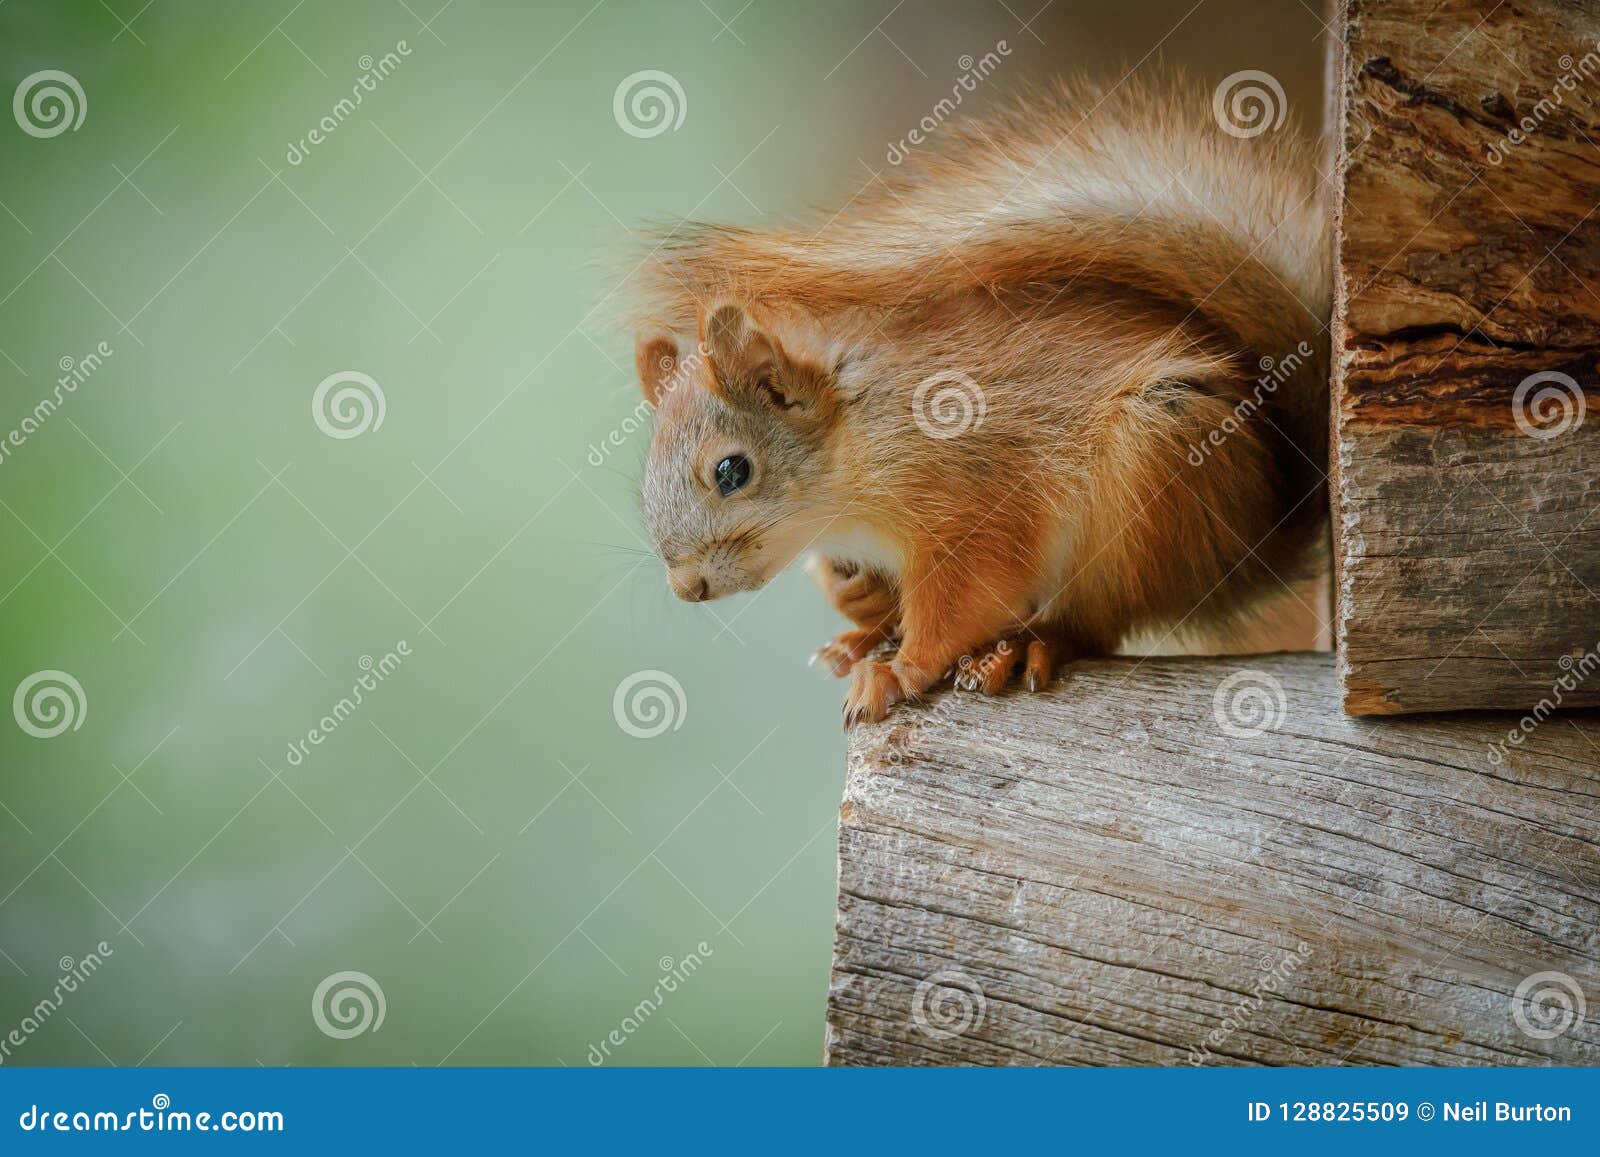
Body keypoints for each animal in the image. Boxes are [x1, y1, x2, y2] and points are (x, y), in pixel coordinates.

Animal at [630, 77, 1331, 725]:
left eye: (732, 471)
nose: (686, 588)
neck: (853, 451)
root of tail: (1250, 544)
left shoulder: (973, 502)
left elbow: (959, 600)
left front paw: (901, 670)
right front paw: (858, 605)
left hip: (1153, 476)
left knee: (1097, 624)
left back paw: (1027, 647)